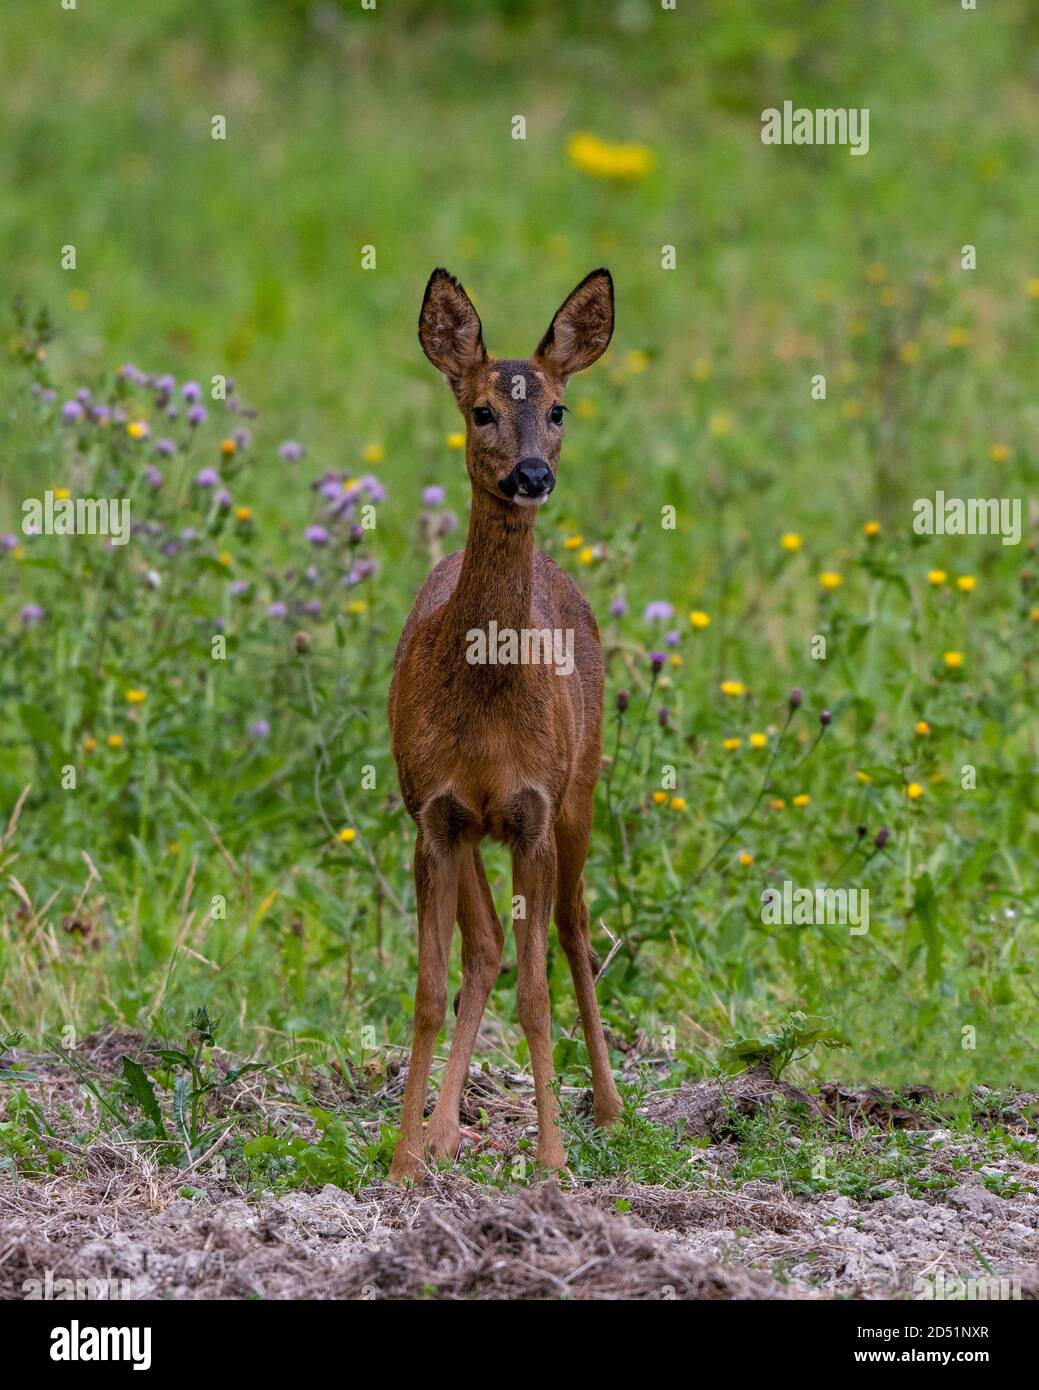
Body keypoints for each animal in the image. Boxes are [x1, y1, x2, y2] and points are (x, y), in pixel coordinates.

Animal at [387, 267, 623, 1183]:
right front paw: (404, 1160)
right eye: (481, 409)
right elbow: (431, 987)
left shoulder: (532, 808)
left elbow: (534, 993)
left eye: (558, 408)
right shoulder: (436, 812)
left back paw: (611, 1106)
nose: (529, 474)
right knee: (485, 944)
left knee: (573, 932)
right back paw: (445, 1132)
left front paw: (553, 1160)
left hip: (581, 789)